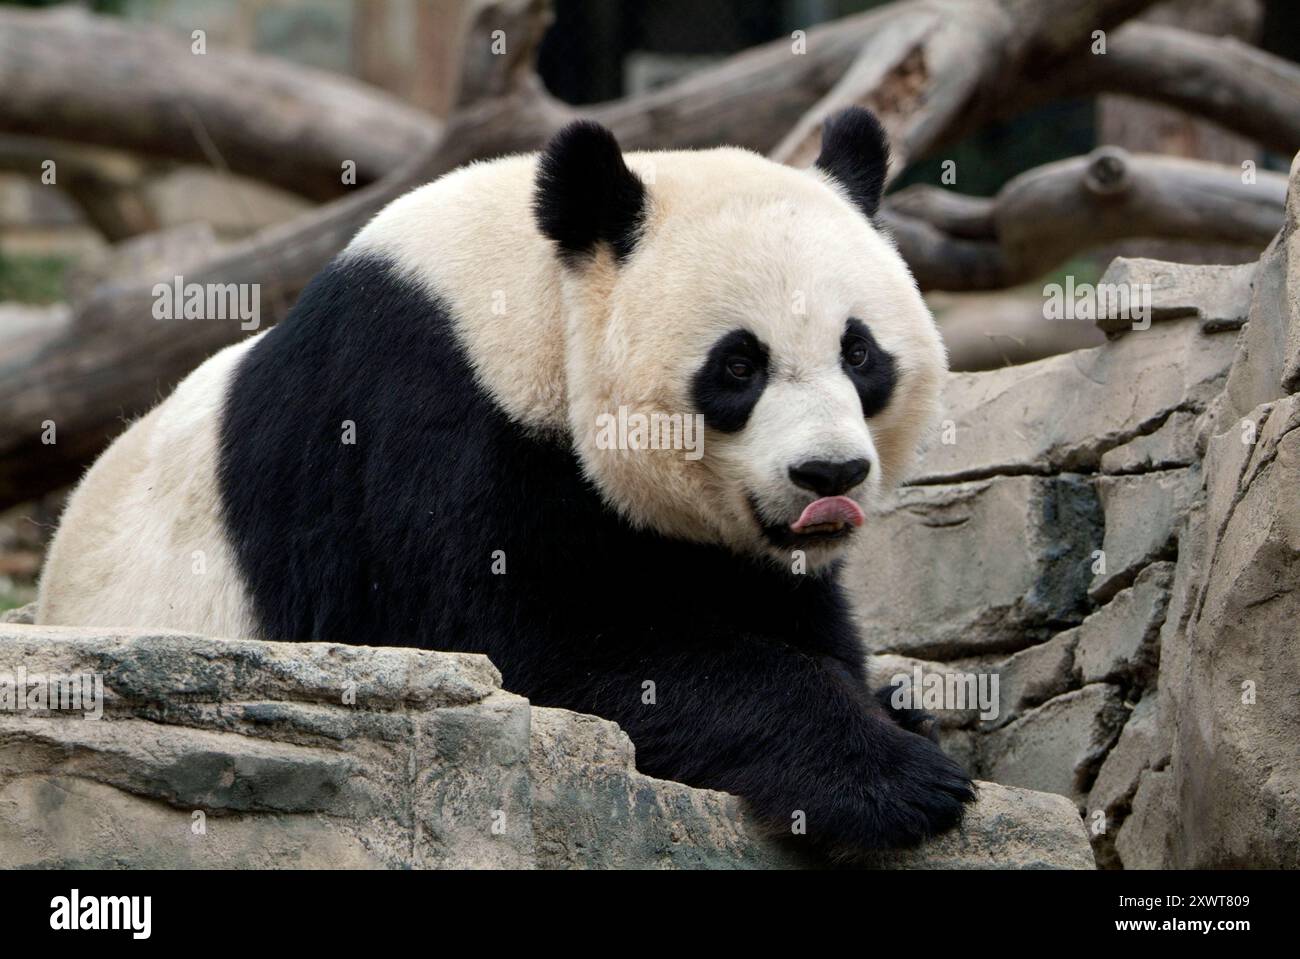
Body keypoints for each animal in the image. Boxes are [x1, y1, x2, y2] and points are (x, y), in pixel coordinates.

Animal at [38, 107, 972, 858]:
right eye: (739, 365)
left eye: (860, 352)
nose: (830, 474)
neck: (529, 302)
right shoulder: (421, 418)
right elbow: (524, 647)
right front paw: (895, 779)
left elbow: (772, 600)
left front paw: (897, 709)